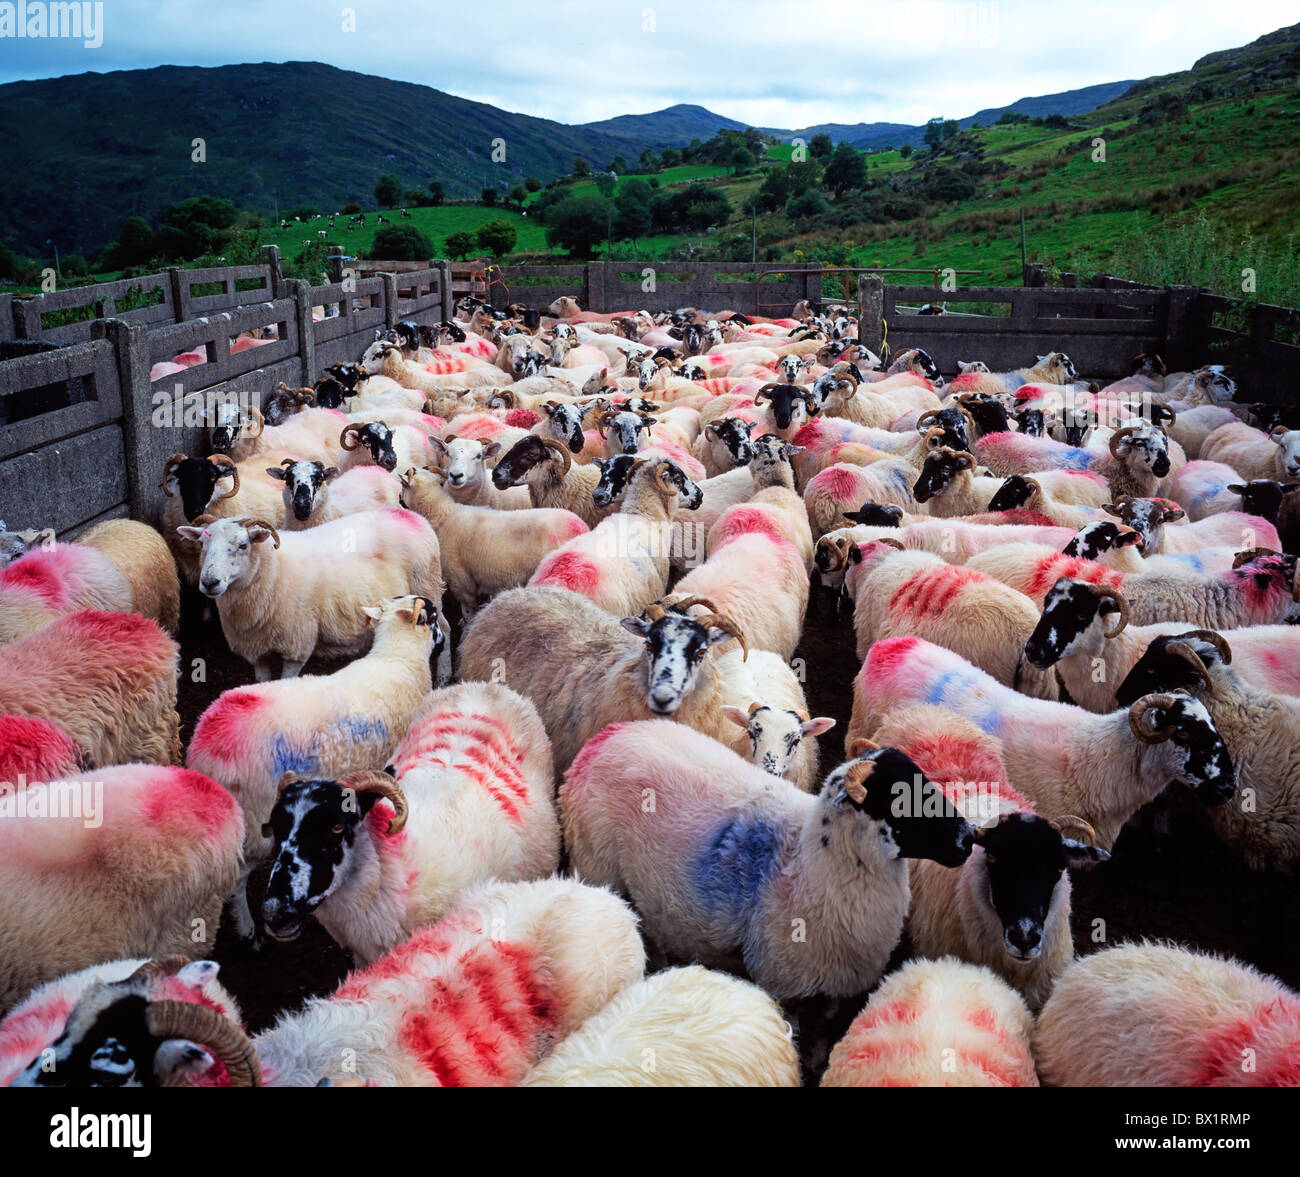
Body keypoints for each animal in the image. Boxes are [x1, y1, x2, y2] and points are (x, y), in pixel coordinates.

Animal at [176, 510, 444, 681]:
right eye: (202, 545)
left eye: (243, 545)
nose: (209, 582)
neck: (272, 570)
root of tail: (413, 516)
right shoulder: (256, 649)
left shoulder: (297, 645)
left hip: (427, 584)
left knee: (446, 630)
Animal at [187, 595, 443, 944]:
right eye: (433, 615)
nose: (444, 640)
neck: (399, 658)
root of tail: (204, 742)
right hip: (252, 821)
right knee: (237, 880)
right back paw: (248, 929)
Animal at [398, 466, 589, 614]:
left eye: (402, 485)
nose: (399, 500)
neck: (443, 516)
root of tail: (580, 526)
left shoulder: (462, 582)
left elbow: (468, 613)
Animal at [562, 719, 974, 999]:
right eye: (899, 800)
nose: (968, 838)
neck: (807, 865)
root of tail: (605, 736)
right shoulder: (785, 984)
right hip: (599, 867)